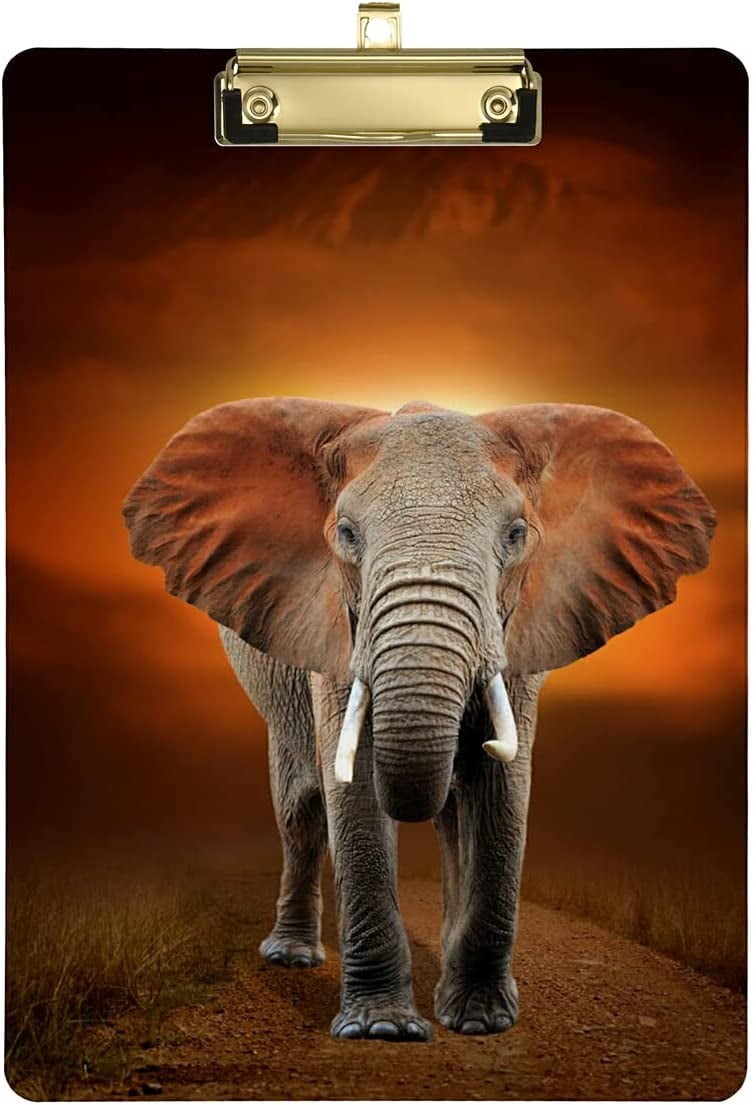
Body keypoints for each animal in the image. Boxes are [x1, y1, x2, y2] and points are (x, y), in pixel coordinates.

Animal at [123, 397, 715, 1042]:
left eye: (516, 535)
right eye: (346, 534)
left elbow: (503, 792)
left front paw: (481, 1022)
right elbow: (353, 791)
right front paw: (382, 1031)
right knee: (301, 810)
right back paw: (293, 957)